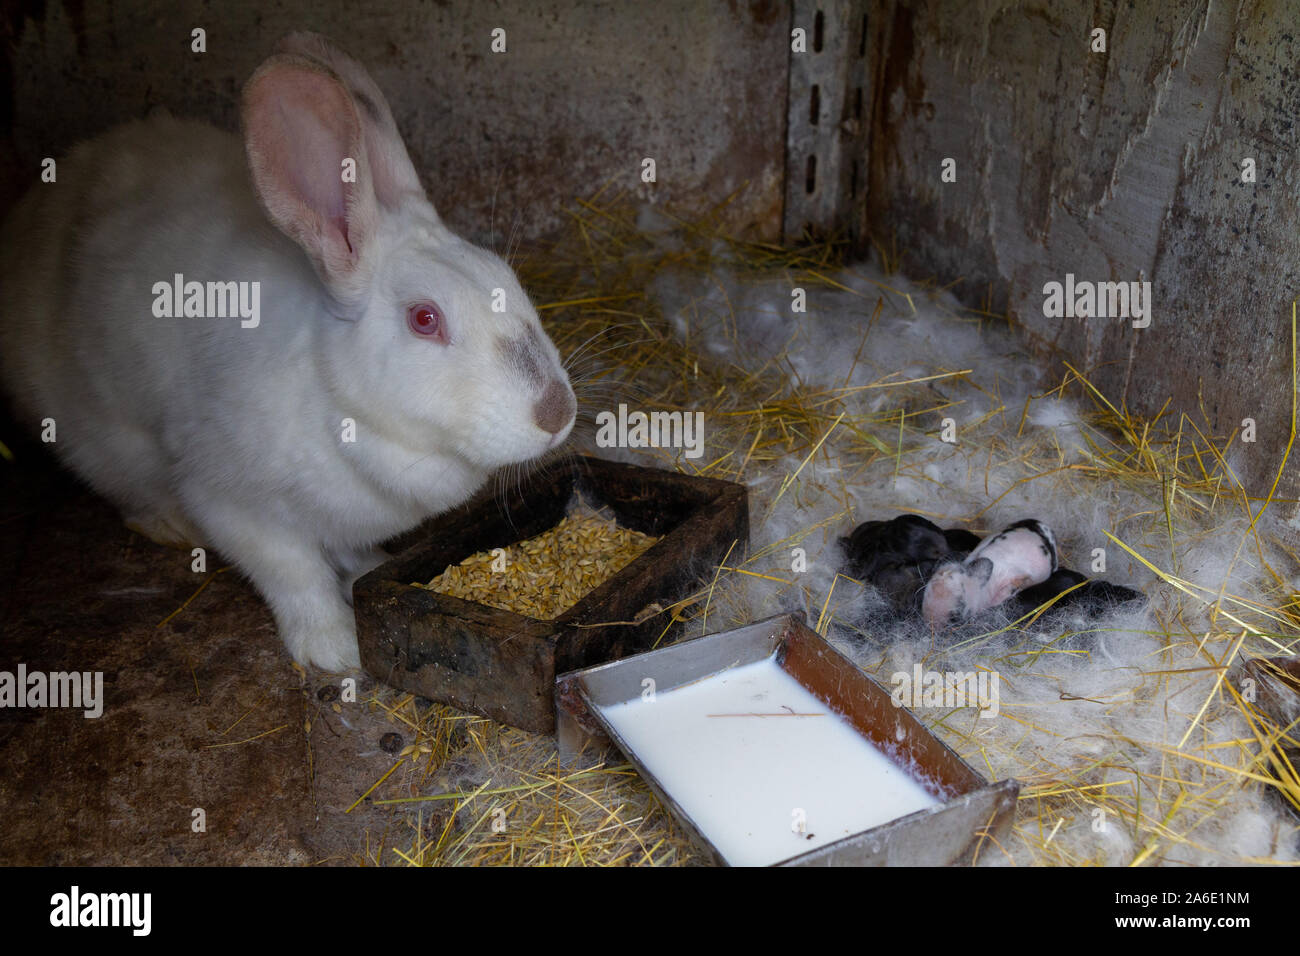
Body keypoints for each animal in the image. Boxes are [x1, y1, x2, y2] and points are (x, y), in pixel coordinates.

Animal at [0, 32, 577, 671]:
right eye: (425, 319)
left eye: (508, 279)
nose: (557, 413)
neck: (338, 402)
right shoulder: (233, 504)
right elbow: (294, 574)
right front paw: (337, 648)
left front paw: (370, 571)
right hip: (96, 438)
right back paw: (170, 525)